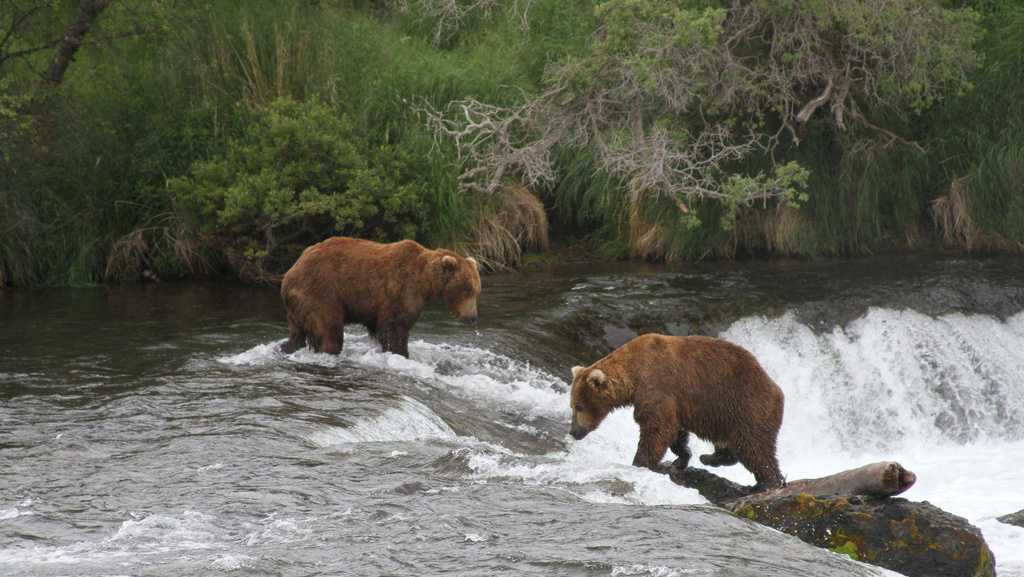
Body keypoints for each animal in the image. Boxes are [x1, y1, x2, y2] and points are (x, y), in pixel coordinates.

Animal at [279, 237, 481, 358]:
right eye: (466, 289)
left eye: (477, 290)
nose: (472, 317)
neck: (425, 281)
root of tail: (288, 274)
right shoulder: (400, 290)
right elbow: (395, 328)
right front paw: (400, 353)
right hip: (320, 293)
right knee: (329, 331)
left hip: (298, 307)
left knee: (297, 334)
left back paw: (286, 348)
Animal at [568, 333, 785, 490]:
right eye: (572, 405)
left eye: (579, 406)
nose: (573, 432)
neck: (634, 374)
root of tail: (777, 390)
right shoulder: (674, 401)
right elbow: (675, 431)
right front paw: (681, 457)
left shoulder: (657, 384)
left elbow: (657, 428)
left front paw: (640, 462)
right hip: (725, 417)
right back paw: (710, 457)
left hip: (745, 407)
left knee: (754, 447)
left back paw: (767, 483)